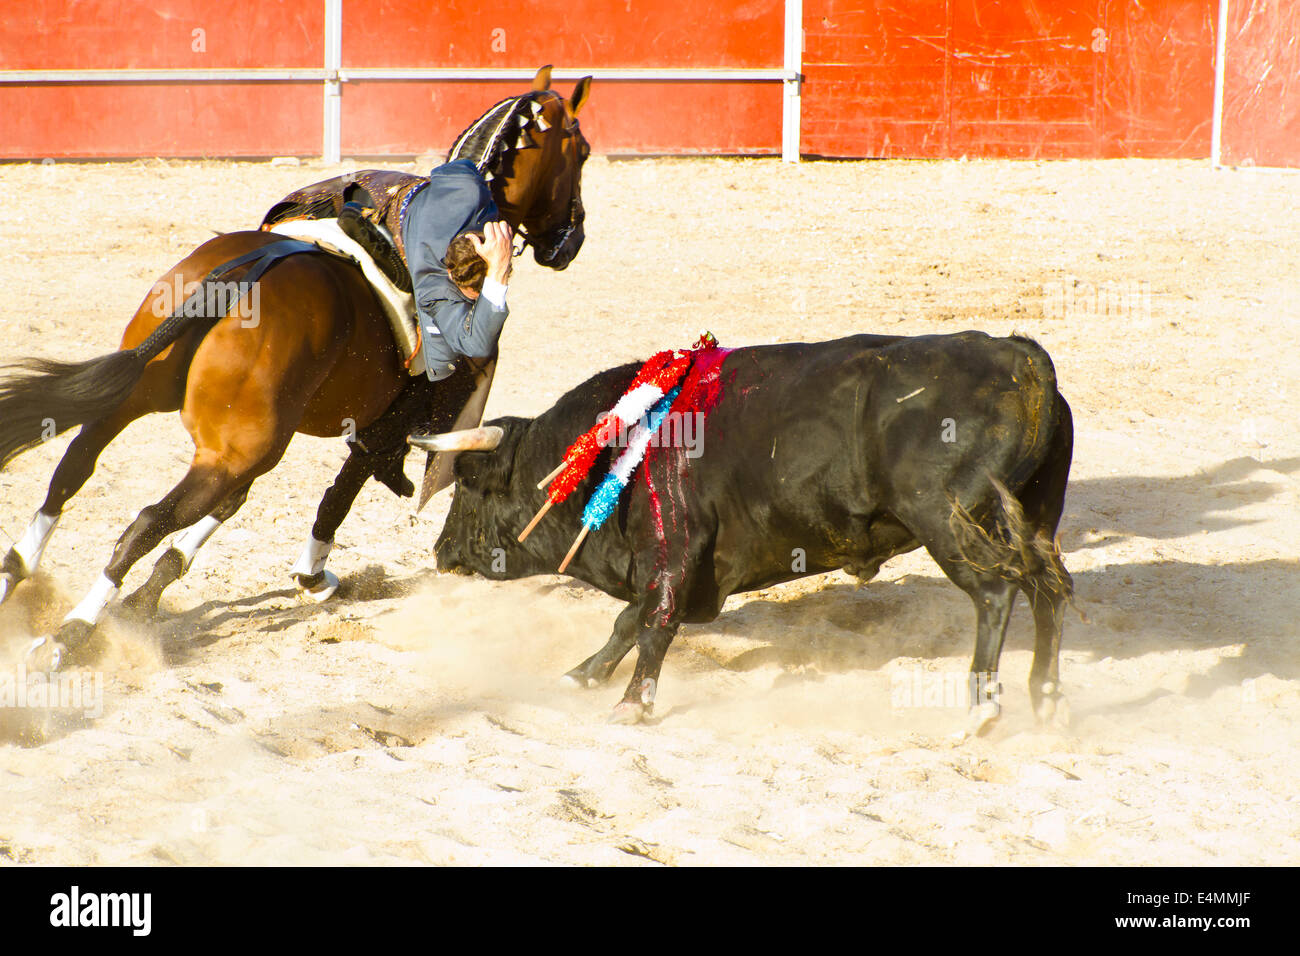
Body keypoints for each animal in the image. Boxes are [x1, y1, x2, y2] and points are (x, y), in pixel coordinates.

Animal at [0, 66, 592, 669]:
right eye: (583, 151)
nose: (573, 239)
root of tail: (240, 273)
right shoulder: (380, 431)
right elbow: (337, 497)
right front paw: (312, 577)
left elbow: (231, 508)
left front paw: (148, 598)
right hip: (239, 448)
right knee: (144, 520)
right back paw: (68, 634)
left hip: (153, 403)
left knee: (73, 469)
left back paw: (18, 574)